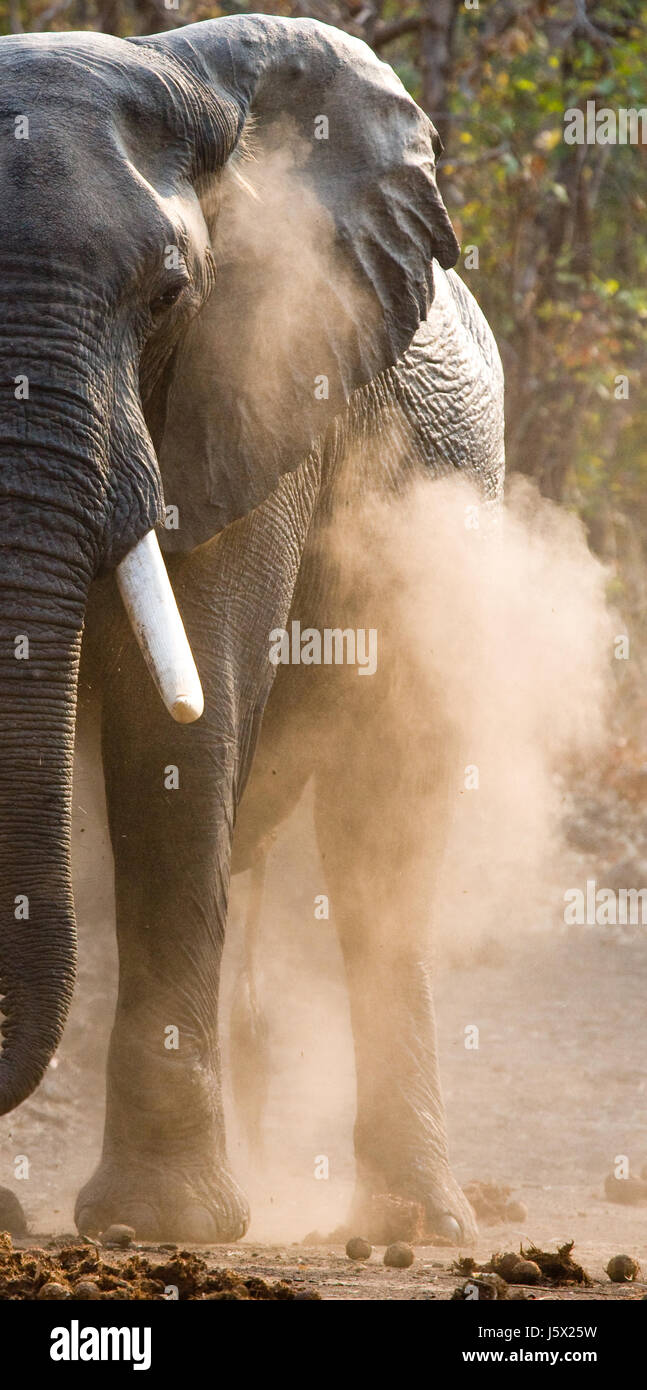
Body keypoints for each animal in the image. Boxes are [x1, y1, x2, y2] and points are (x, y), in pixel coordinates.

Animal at [0, 14, 504, 1245]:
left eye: (169, 295)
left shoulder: (260, 380)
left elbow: (176, 741)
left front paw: (161, 1226)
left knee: (376, 834)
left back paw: (410, 1224)